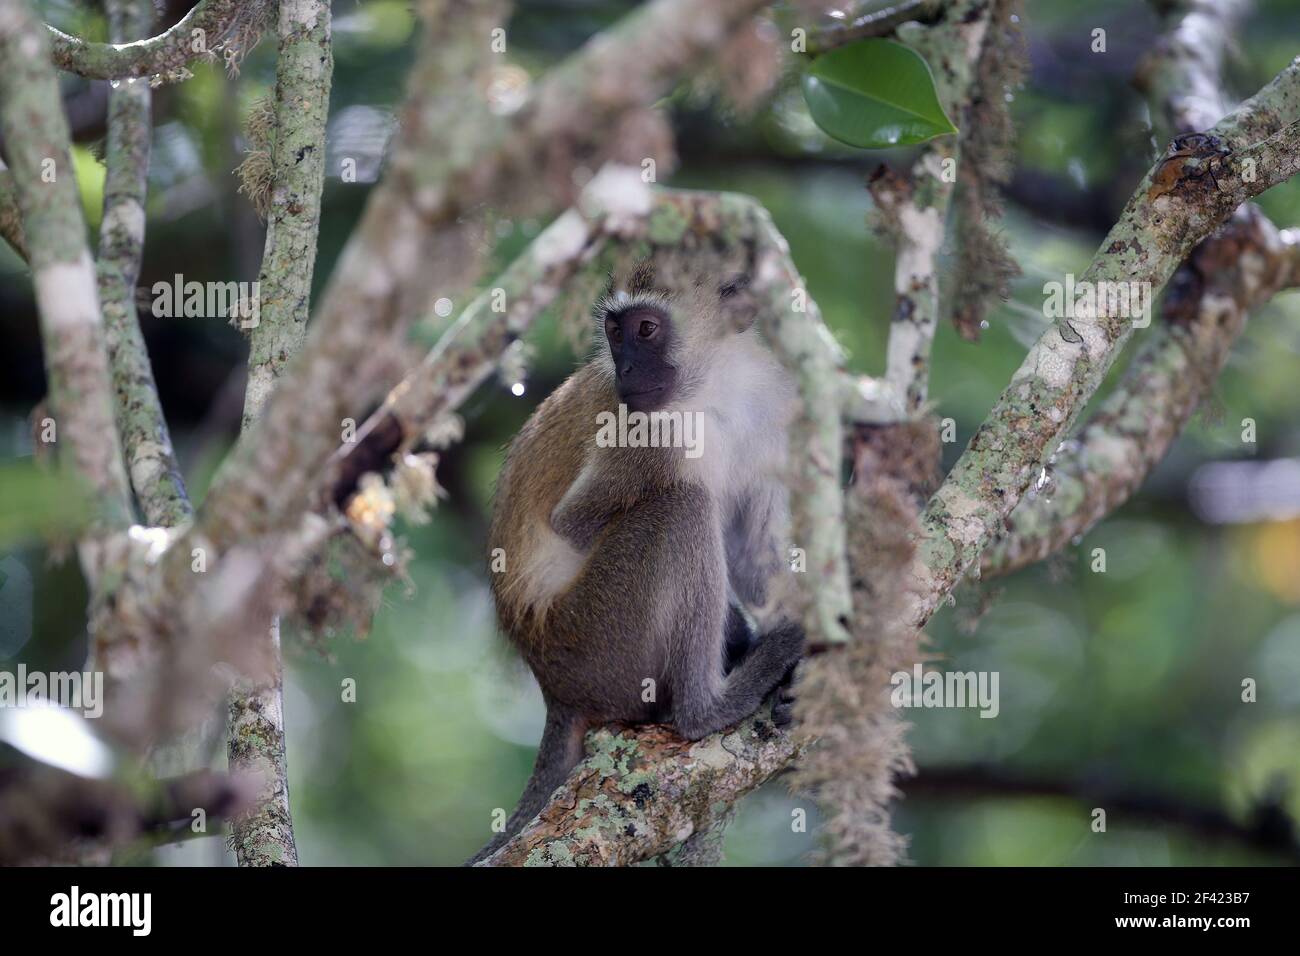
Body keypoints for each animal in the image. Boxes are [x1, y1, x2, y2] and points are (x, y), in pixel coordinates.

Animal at [470, 266, 804, 863]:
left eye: (646, 329)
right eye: (614, 331)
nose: (625, 369)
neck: (710, 389)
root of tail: (555, 688)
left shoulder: (770, 408)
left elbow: (756, 549)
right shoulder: (638, 434)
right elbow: (574, 523)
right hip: (598, 640)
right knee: (682, 504)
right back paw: (707, 708)